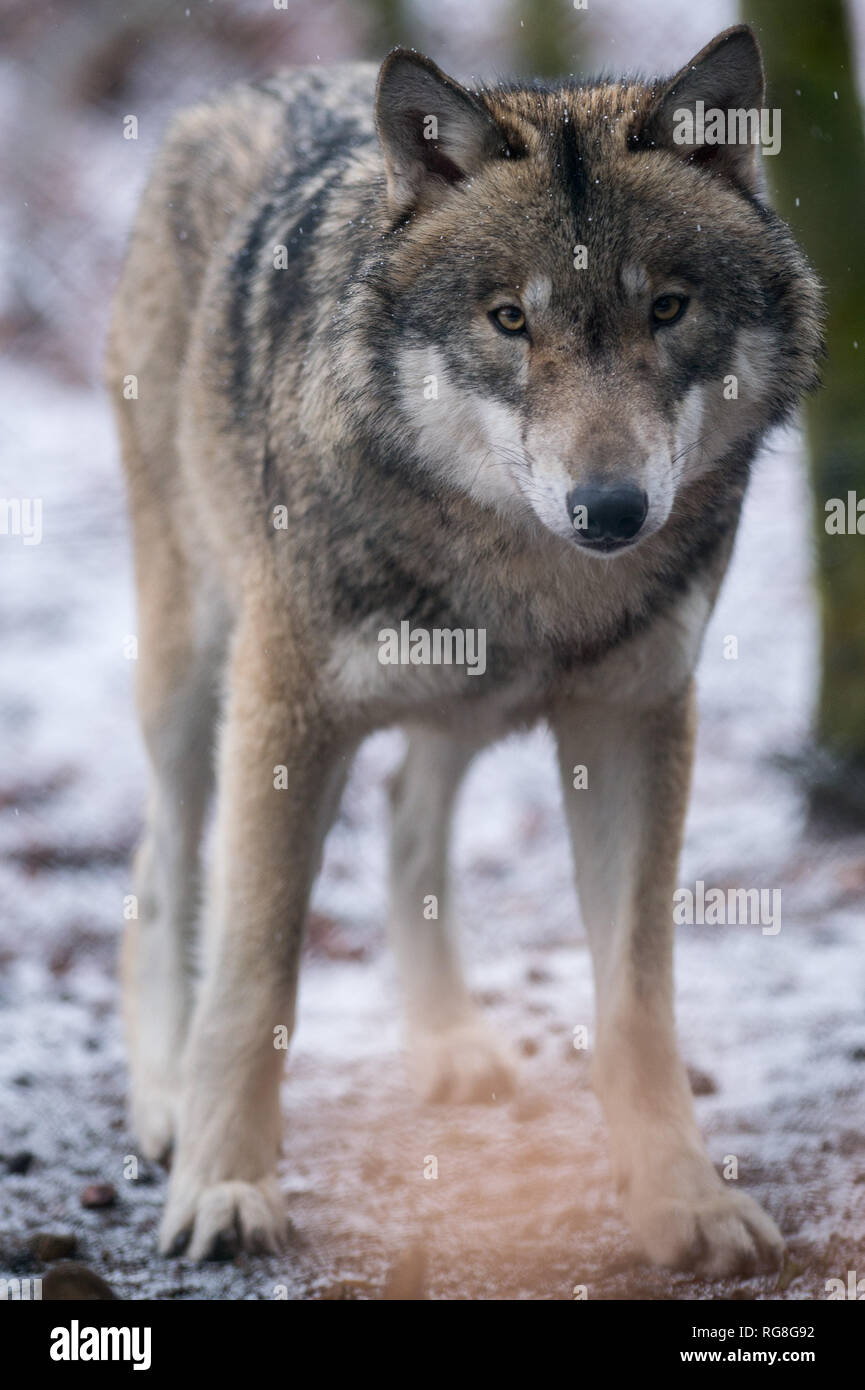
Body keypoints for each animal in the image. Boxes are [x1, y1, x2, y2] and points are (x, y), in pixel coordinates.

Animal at [107, 24, 822, 1275]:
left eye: (666, 308)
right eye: (508, 320)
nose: (609, 509)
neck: (528, 575)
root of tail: (232, 96)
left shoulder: (634, 715)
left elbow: (636, 1002)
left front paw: (681, 1200)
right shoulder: (285, 706)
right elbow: (255, 973)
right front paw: (225, 1183)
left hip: (460, 704)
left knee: (407, 814)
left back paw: (447, 1043)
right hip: (194, 677)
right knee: (160, 871)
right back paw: (161, 1103)